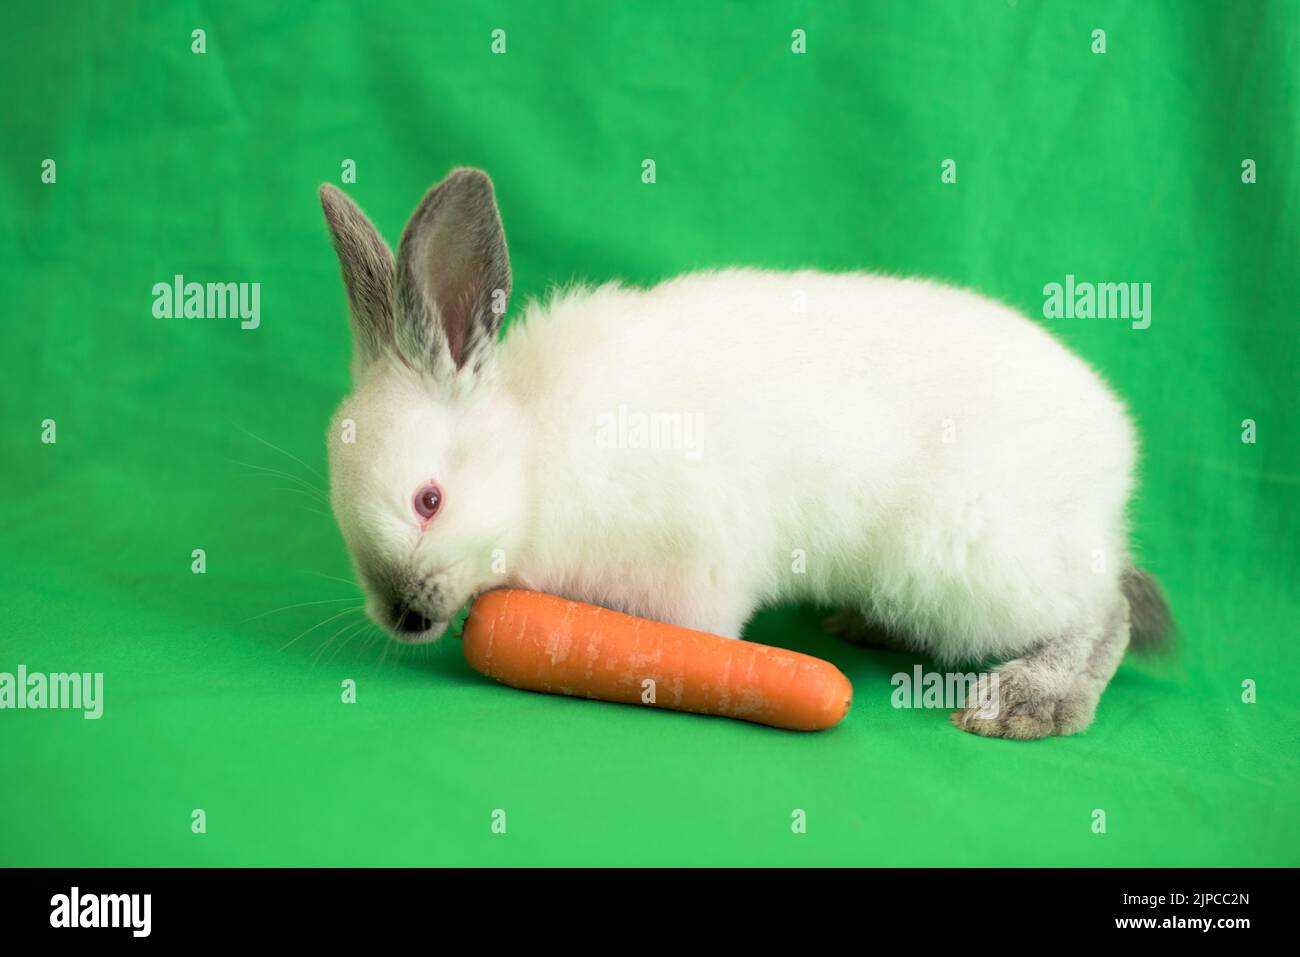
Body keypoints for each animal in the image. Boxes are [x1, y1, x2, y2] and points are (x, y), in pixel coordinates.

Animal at [318, 167, 1172, 740]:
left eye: (429, 501)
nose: (404, 617)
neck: (533, 461)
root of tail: (1115, 448)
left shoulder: (691, 566)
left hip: (973, 560)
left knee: (1105, 611)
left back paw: (1029, 701)